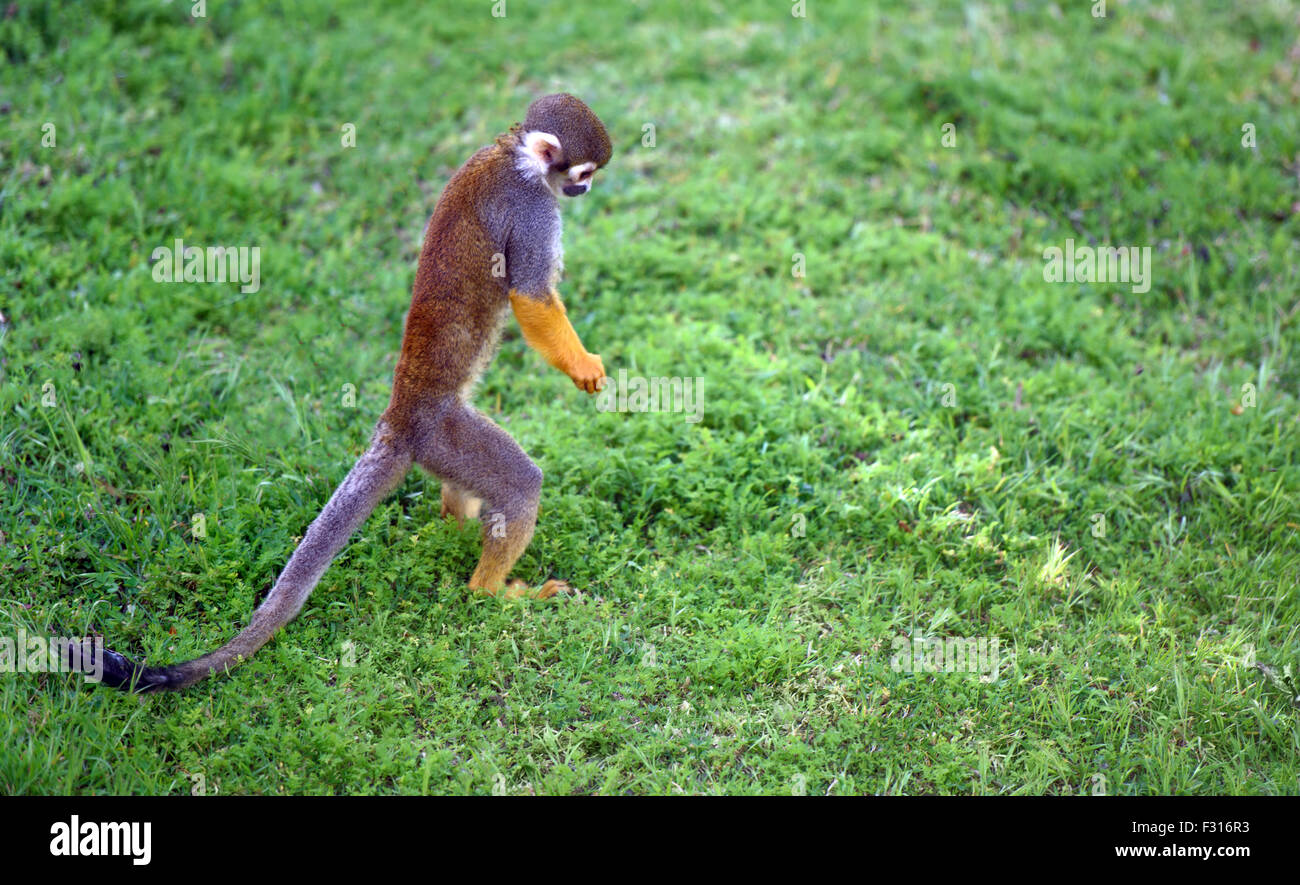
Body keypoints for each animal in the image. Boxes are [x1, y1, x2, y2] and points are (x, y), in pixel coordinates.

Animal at [77, 93, 614, 692]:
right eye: (582, 174)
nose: (585, 192)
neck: (513, 156)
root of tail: (397, 420)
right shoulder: (532, 209)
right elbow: (530, 295)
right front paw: (584, 367)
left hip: (443, 441)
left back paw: (455, 529)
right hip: (444, 435)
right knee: (521, 486)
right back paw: (492, 592)